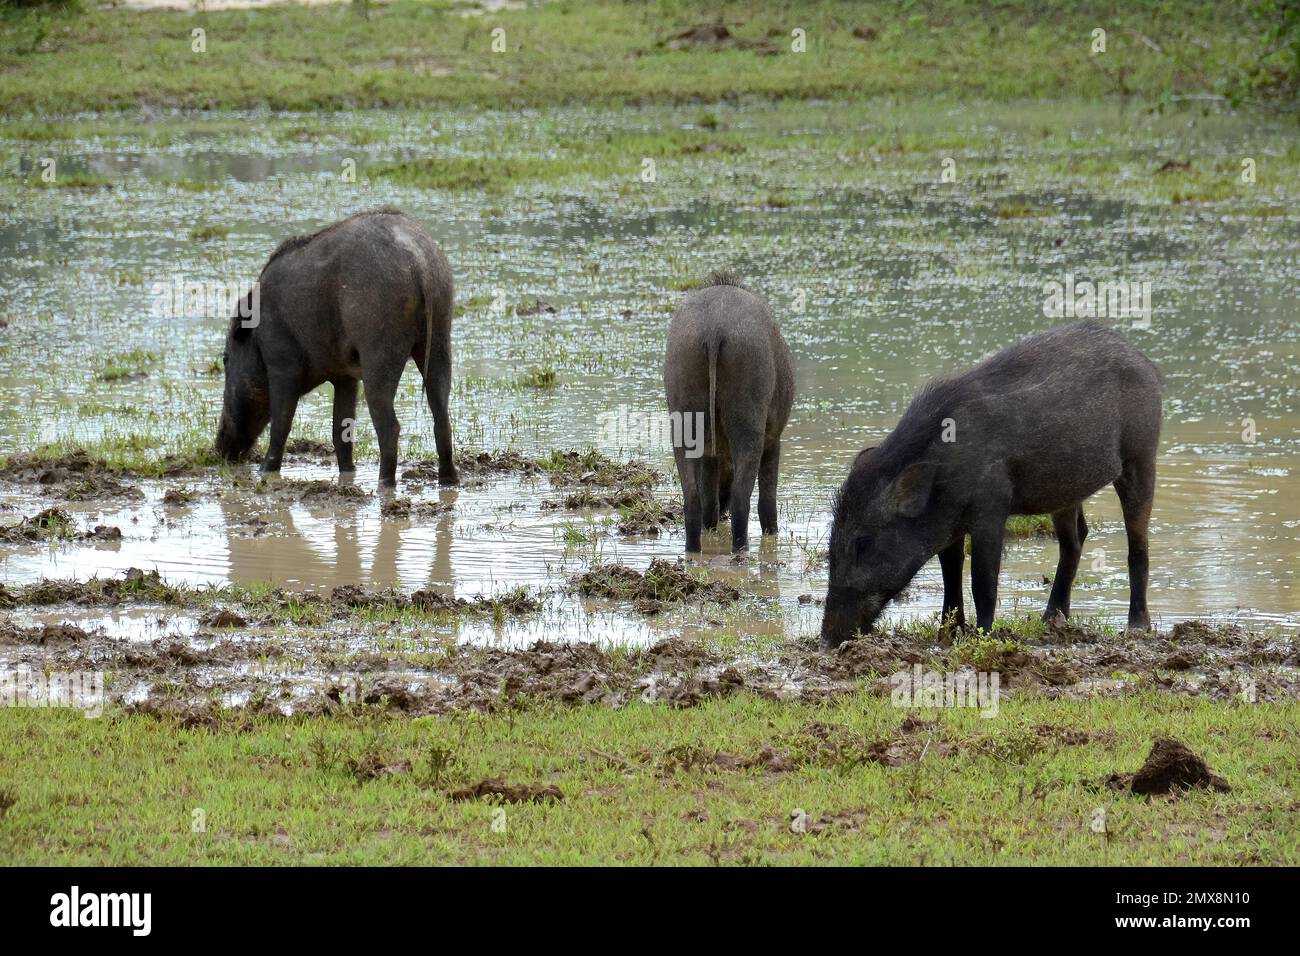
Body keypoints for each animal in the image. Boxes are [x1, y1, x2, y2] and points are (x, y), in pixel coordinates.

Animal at [214, 208, 458, 486]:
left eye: (226, 358)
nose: (218, 448)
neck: (256, 335)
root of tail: (419, 261)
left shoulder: (282, 364)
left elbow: (282, 422)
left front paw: (265, 471)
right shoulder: (345, 376)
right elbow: (340, 428)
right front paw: (348, 472)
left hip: (380, 351)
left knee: (389, 425)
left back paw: (384, 484)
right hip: (440, 336)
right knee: (441, 416)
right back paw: (448, 480)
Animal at [664, 271, 795, 552]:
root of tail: (714, 331)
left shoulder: (709, 453)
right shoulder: (774, 439)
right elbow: (767, 498)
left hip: (683, 419)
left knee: (694, 498)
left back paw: (694, 550)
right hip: (749, 420)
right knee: (741, 499)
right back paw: (741, 550)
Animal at [821, 320, 1161, 647]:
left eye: (862, 543)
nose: (826, 640)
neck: (943, 475)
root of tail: (1145, 363)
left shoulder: (991, 509)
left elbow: (982, 580)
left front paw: (981, 637)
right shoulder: (949, 526)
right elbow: (951, 574)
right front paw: (946, 636)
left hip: (1141, 456)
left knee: (1137, 544)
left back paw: (1136, 627)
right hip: (1066, 489)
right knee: (1075, 539)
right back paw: (1051, 620)